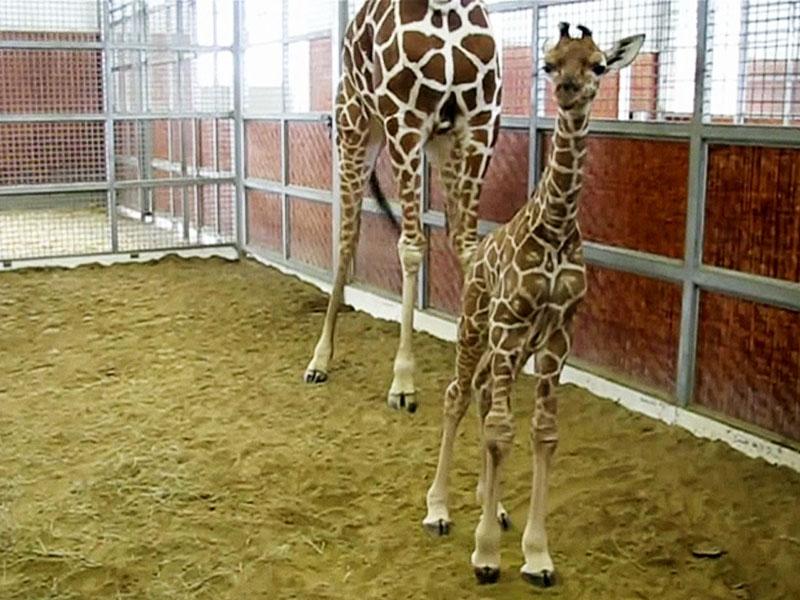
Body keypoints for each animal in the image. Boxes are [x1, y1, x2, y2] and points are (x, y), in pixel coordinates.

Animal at [303, 0, 502, 413]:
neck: (444, 7)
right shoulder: (405, 120)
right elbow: (410, 248)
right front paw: (404, 380)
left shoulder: (482, 119)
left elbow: (469, 249)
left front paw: (484, 364)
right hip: (357, 131)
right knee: (348, 236)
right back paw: (318, 361)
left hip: (442, 147)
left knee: (454, 234)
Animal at [422, 23, 645, 586]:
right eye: (548, 63)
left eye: (598, 64)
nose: (568, 89)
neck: (556, 227)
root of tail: (474, 251)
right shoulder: (509, 320)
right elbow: (503, 429)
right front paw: (485, 555)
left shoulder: (560, 331)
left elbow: (542, 432)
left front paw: (537, 556)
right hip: (477, 323)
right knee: (459, 392)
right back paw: (438, 509)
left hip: (517, 344)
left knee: (484, 392)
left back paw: (493, 504)